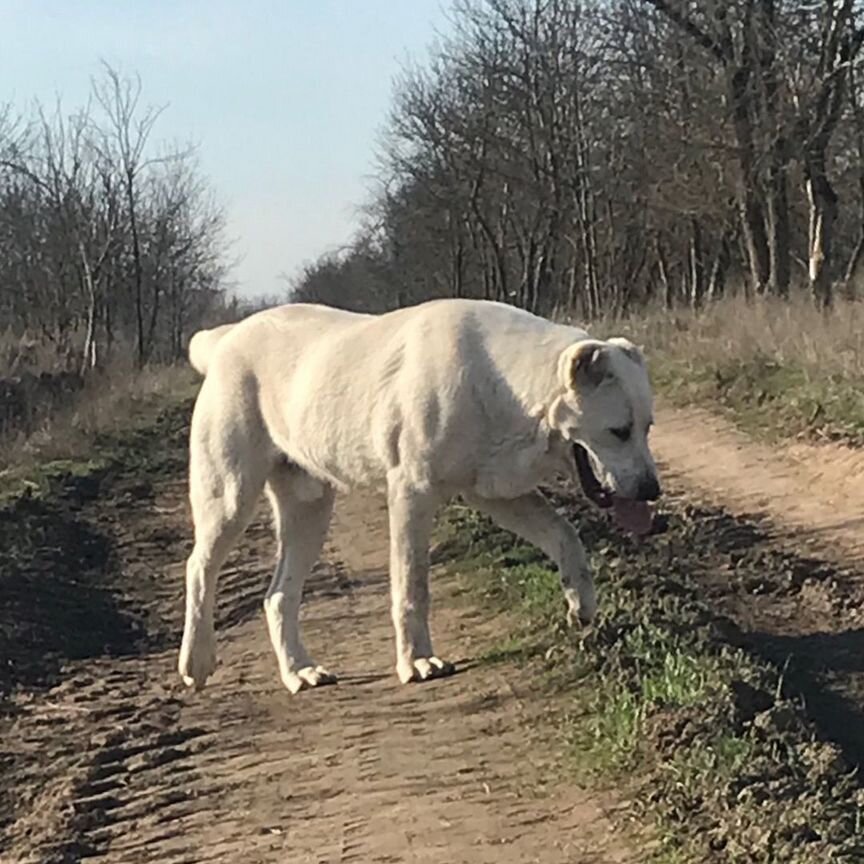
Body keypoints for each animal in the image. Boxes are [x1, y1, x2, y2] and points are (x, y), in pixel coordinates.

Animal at [177, 300, 660, 692]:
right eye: (618, 431)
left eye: (648, 427)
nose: (652, 491)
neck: (505, 384)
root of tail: (228, 337)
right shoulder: (412, 493)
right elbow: (412, 586)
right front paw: (418, 661)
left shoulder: (494, 495)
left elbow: (565, 536)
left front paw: (581, 603)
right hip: (229, 496)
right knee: (199, 567)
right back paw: (197, 660)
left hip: (308, 512)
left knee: (278, 596)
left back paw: (300, 672)